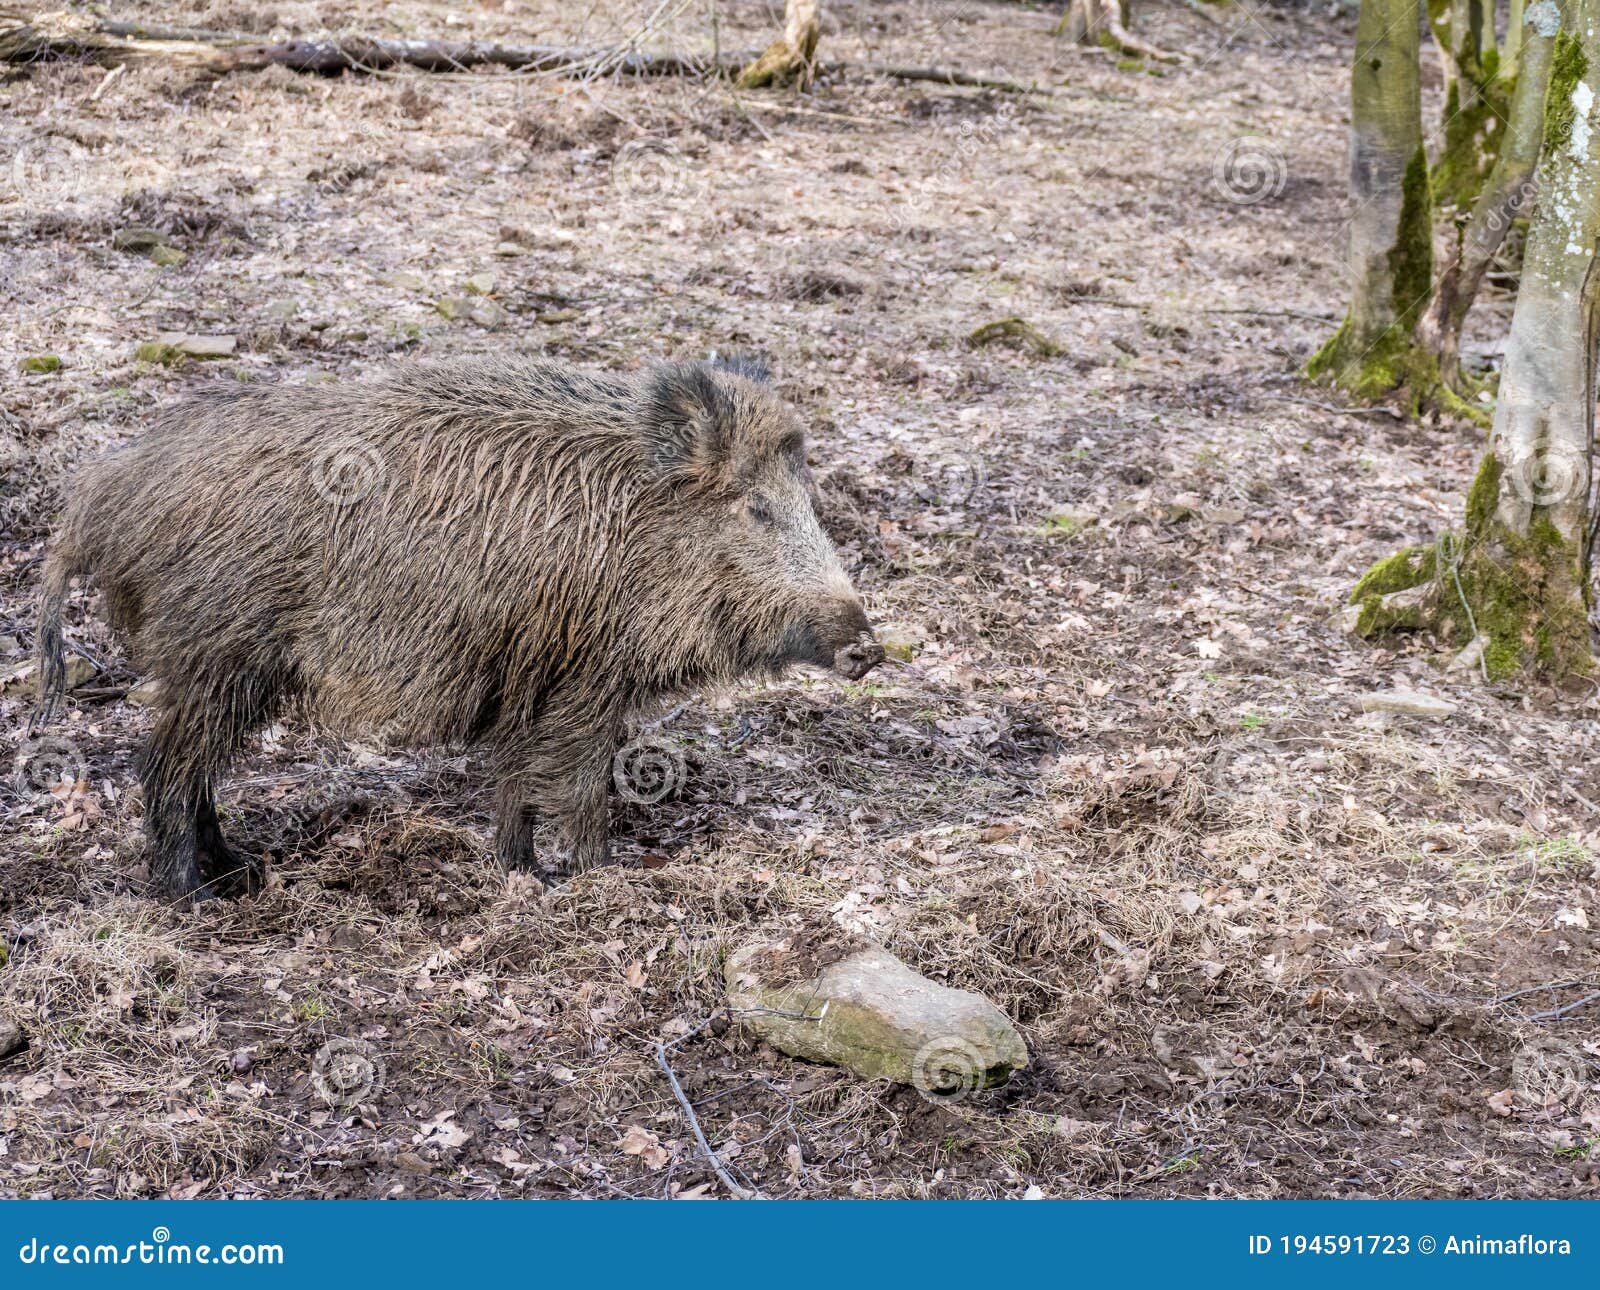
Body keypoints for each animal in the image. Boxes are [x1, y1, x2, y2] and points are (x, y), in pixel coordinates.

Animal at [36, 356, 883, 902]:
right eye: (758, 509)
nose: (868, 647)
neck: (636, 535)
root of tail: (97, 499)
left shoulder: (534, 674)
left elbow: (515, 780)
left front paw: (520, 871)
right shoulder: (588, 676)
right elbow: (578, 783)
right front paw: (600, 877)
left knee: (195, 766)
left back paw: (240, 870)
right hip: (216, 651)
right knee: (166, 765)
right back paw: (194, 896)